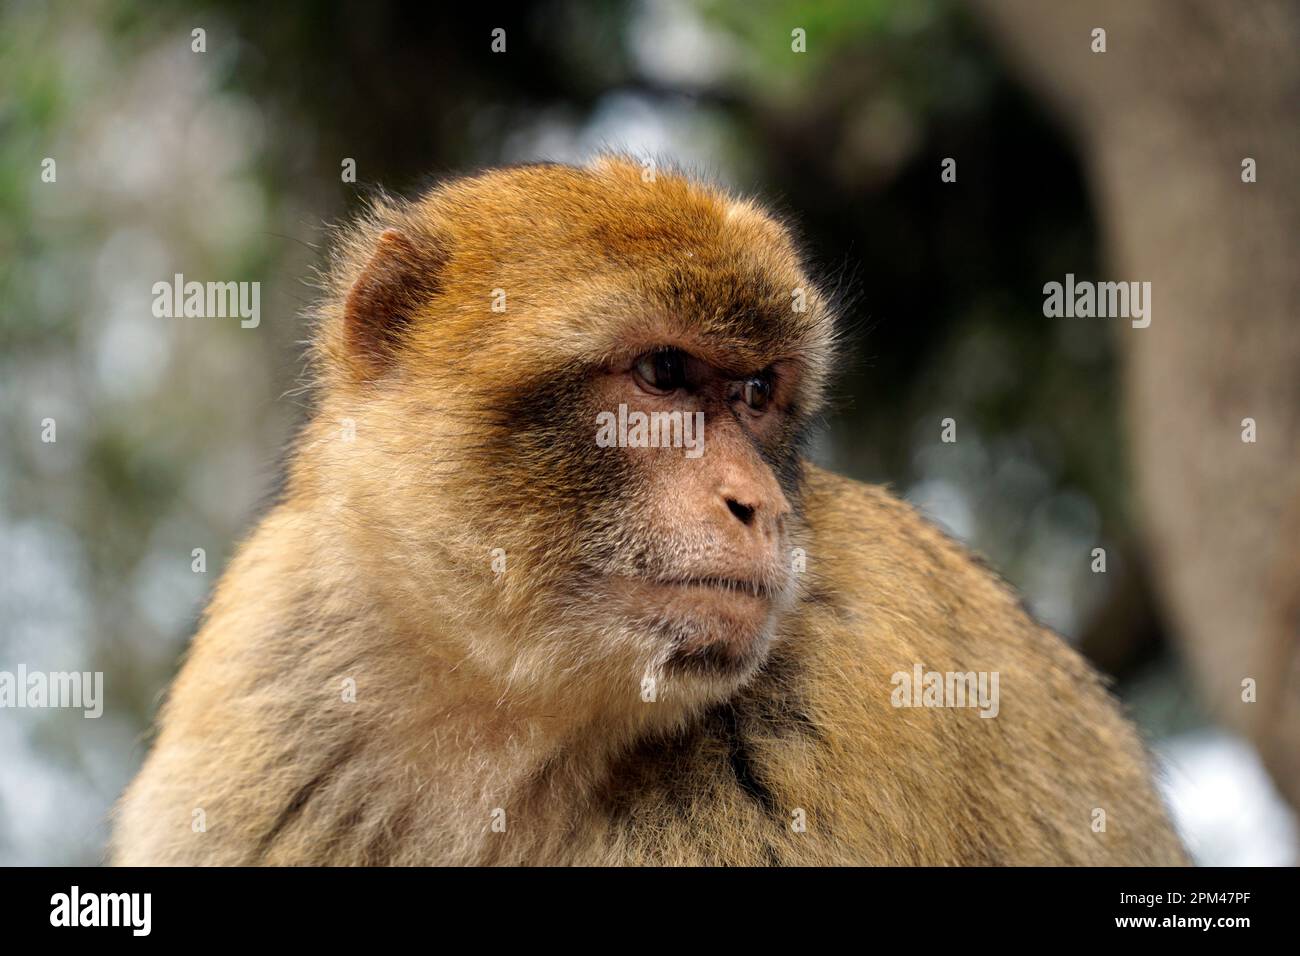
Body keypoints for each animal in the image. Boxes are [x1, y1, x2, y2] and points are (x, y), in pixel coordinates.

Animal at [111, 157, 1187, 866]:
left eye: (756, 391)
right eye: (664, 374)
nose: (759, 504)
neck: (502, 702)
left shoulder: (851, 692)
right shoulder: (259, 692)